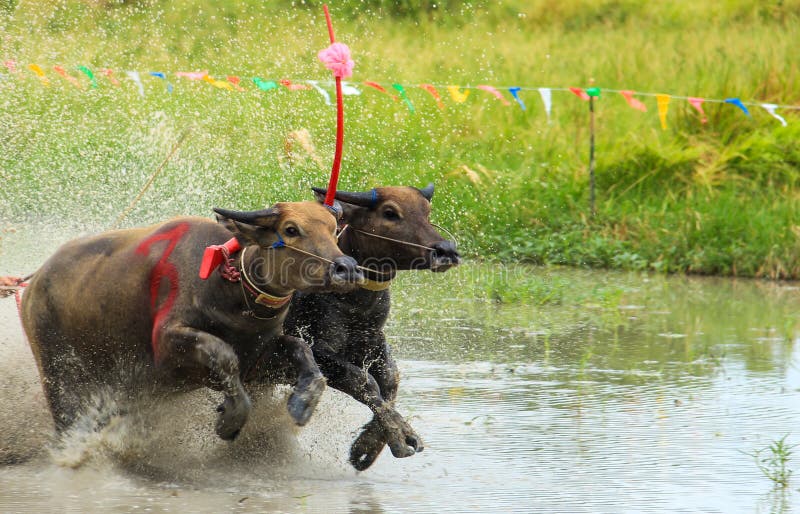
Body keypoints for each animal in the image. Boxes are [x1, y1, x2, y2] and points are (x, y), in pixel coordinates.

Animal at [285, 184, 460, 470]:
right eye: (390, 212)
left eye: (427, 211)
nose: (446, 251)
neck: (356, 304)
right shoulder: (317, 349)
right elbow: (364, 381)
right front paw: (400, 436)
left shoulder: (373, 344)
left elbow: (391, 380)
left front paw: (367, 446)